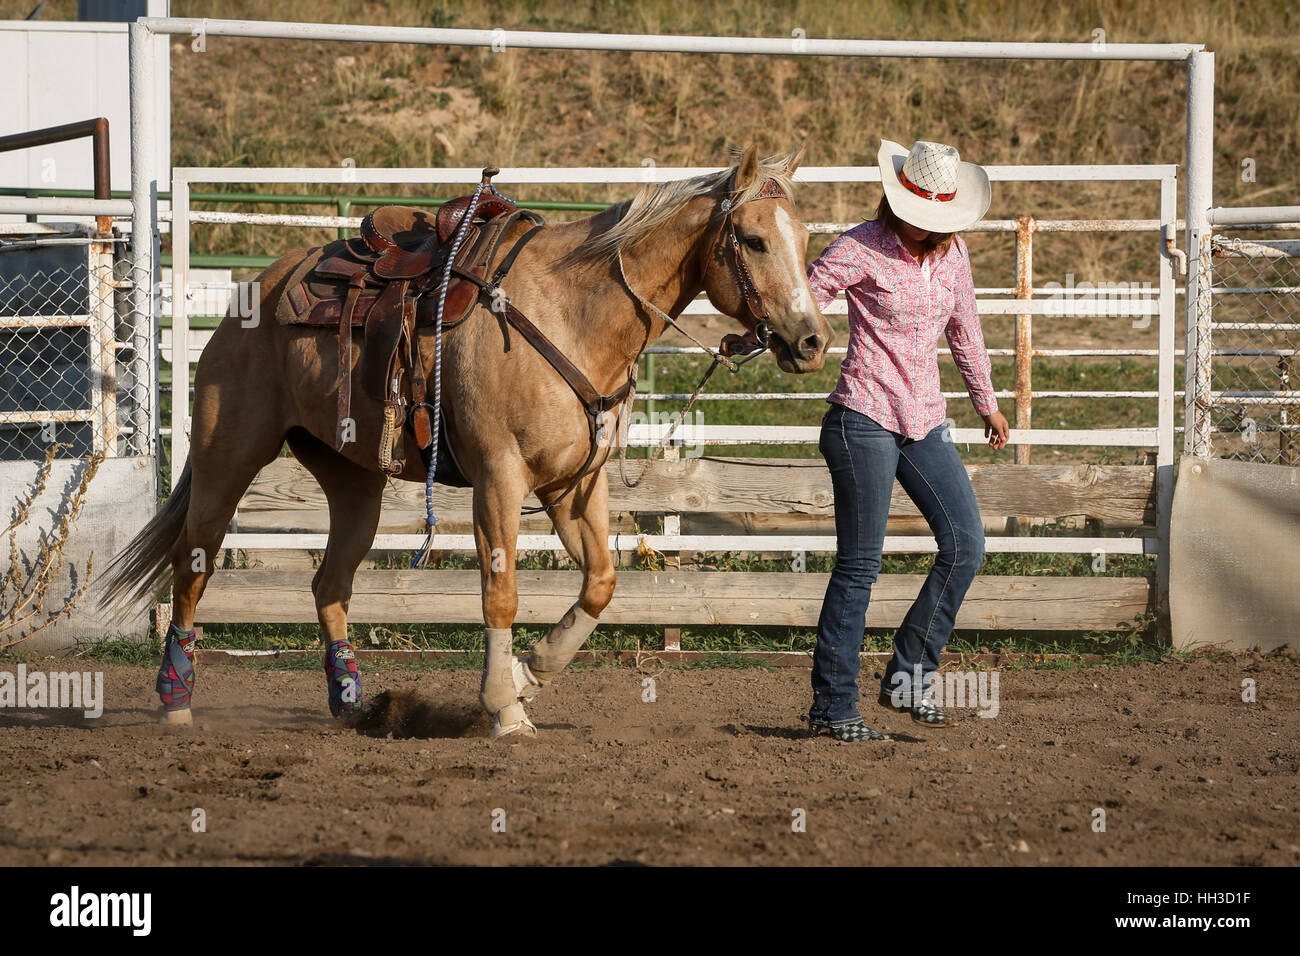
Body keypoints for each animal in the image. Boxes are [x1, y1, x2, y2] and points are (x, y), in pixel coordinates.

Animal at [100, 144, 831, 738]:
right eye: (753, 239)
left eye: (802, 237)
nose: (811, 340)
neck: (572, 314)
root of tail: (255, 290)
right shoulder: (499, 478)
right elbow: (500, 591)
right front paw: (505, 706)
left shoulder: (573, 486)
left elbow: (601, 582)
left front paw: (533, 674)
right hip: (228, 455)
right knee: (192, 563)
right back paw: (176, 699)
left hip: (354, 480)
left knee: (330, 581)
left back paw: (351, 701)